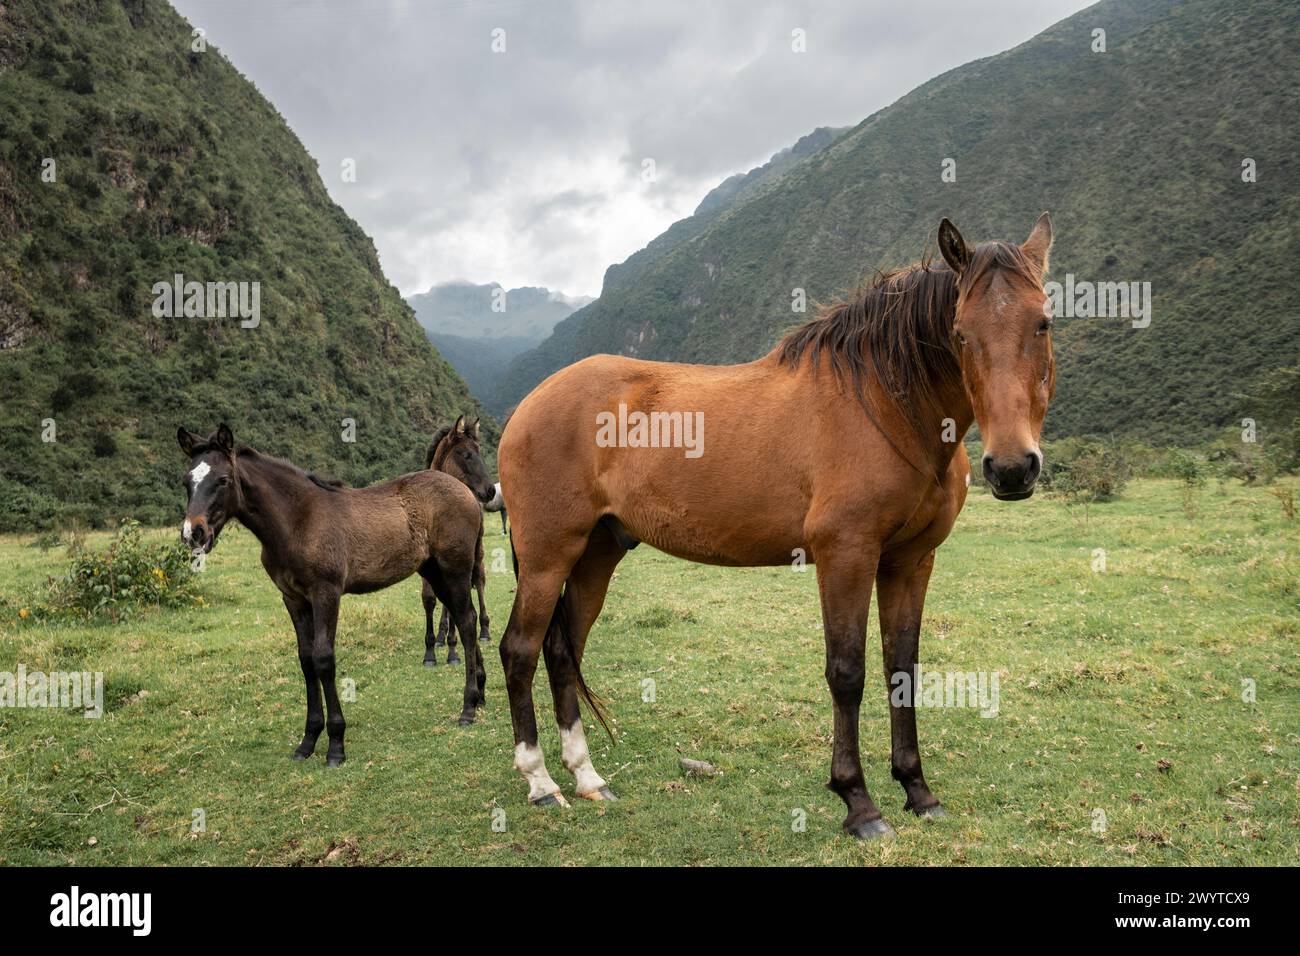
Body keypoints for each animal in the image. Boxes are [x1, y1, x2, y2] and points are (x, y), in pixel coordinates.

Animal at [176, 423, 488, 767]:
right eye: (186, 481)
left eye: (223, 480)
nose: (193, 533)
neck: (297, 520)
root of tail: (467, 494)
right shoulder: (293, 598)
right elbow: (305, 660)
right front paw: (308, 740)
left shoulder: (326, 592)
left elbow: (323, 658)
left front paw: (336, 743)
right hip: (434, 572)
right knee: (464, 617)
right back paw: (480, 692)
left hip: (455, 569)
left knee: (468, 622)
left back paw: (468, 707)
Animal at [420, 415, 495, 665]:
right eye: (466, 454)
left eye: (479, 451)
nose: (491, 491)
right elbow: (429, 599)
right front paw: (430, 651)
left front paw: (453, 651)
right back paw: (441, 636)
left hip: (476, 552)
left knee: (479, 579)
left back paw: (483, 630)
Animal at [495, 214, 1055, 837]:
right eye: (959, 332)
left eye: (1043, 322)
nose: (1012, 467)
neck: (884, 405)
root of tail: (527, 405)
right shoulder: (845, 555)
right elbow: (847, 672)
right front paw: (858, 802)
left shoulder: (910, 562)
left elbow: (901, 669)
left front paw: (918, 790)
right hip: (547, 557)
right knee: (520, 650)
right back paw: (541, 783)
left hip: (597, 553)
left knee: (563, 651)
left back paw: (587, 777)